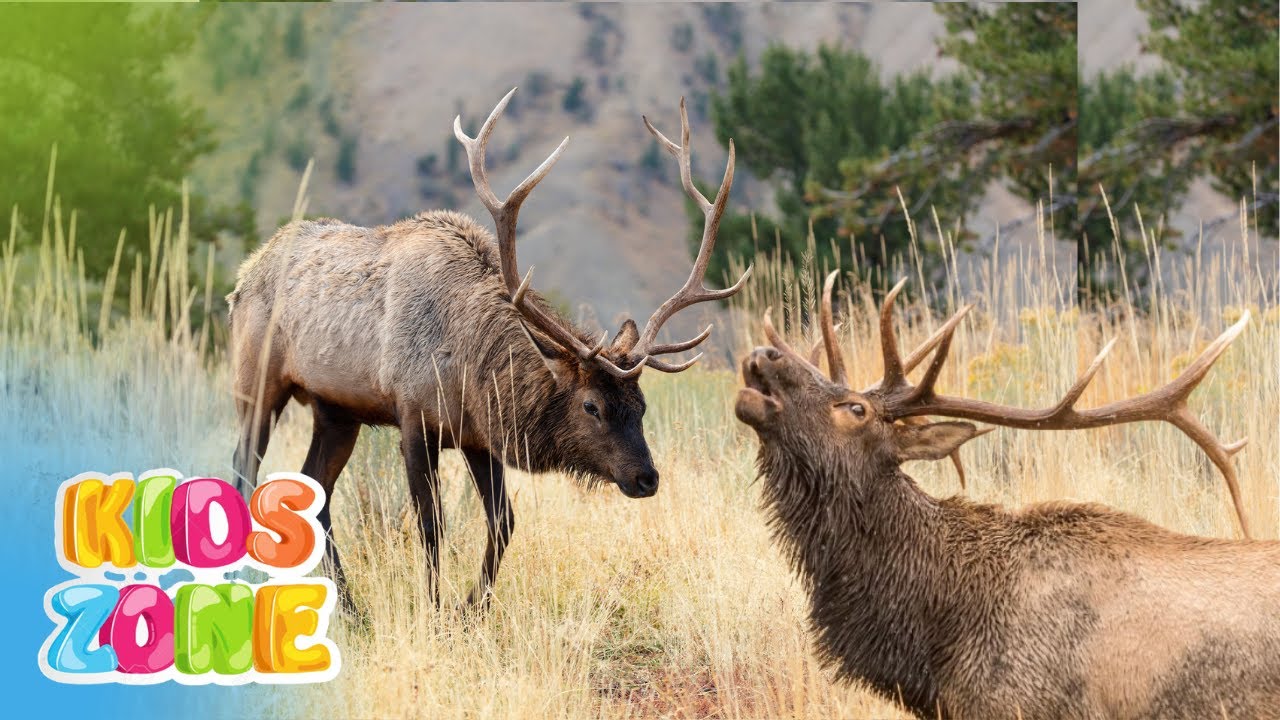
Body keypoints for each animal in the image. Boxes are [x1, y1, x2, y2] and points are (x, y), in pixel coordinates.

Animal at [227, 90, 749, 610]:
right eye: (591, 406)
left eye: (641, 406)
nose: (646, 478)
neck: (468, 363)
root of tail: (243, 277)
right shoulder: (414, 419)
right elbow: (431, 525)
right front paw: (436, 608)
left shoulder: (479, 435)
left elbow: (503, 522)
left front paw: (472, 607)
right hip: (257, 382)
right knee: (244, 469)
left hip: (336, 410)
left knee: (316, 491)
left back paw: (354, 608)